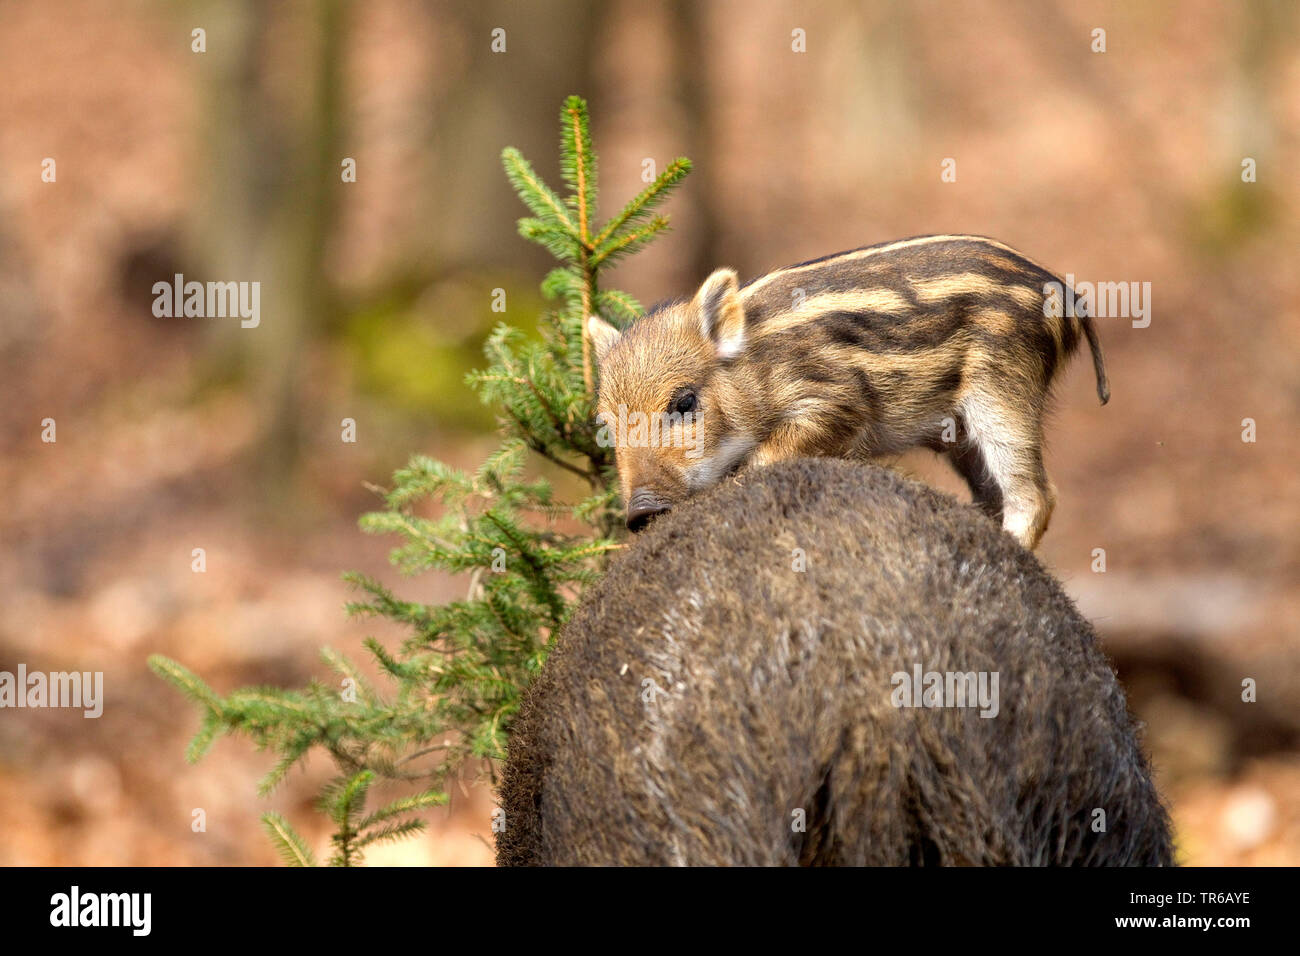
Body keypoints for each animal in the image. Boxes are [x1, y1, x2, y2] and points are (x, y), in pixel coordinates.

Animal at [586, 234, 1110, 549]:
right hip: (961, 432)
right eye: (607, 426)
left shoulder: (837, 401)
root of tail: (1064, 293)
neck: (757, 365)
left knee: (1036, 495)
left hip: (1002, 392)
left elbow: (768, 456)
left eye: (685, 402)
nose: (639, 513)